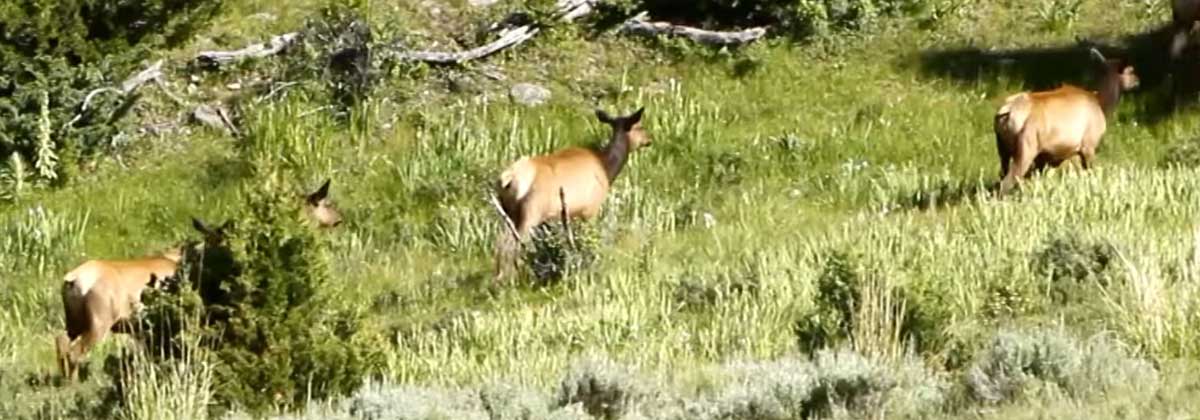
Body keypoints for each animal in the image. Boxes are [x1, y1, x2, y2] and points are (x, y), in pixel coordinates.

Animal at [492, 107, 651, 281]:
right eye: (640, 126)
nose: (649, 140)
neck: (606, 169)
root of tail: (508, 178)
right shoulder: (591, 209)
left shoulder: (567, 214)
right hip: (531, 211)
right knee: (513, 244)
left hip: (509, 213)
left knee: (501, 241)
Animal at [993, 47, 1139, 195]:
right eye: (1131, 70)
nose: (1138, 80)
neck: (1102, 105)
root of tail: (1006, 112)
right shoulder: (1088, 145)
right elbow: (1090, 174)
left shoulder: (1047, 157)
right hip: (1027, 147)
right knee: (1006, 182)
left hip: (1003, 149)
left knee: (1001, 177)